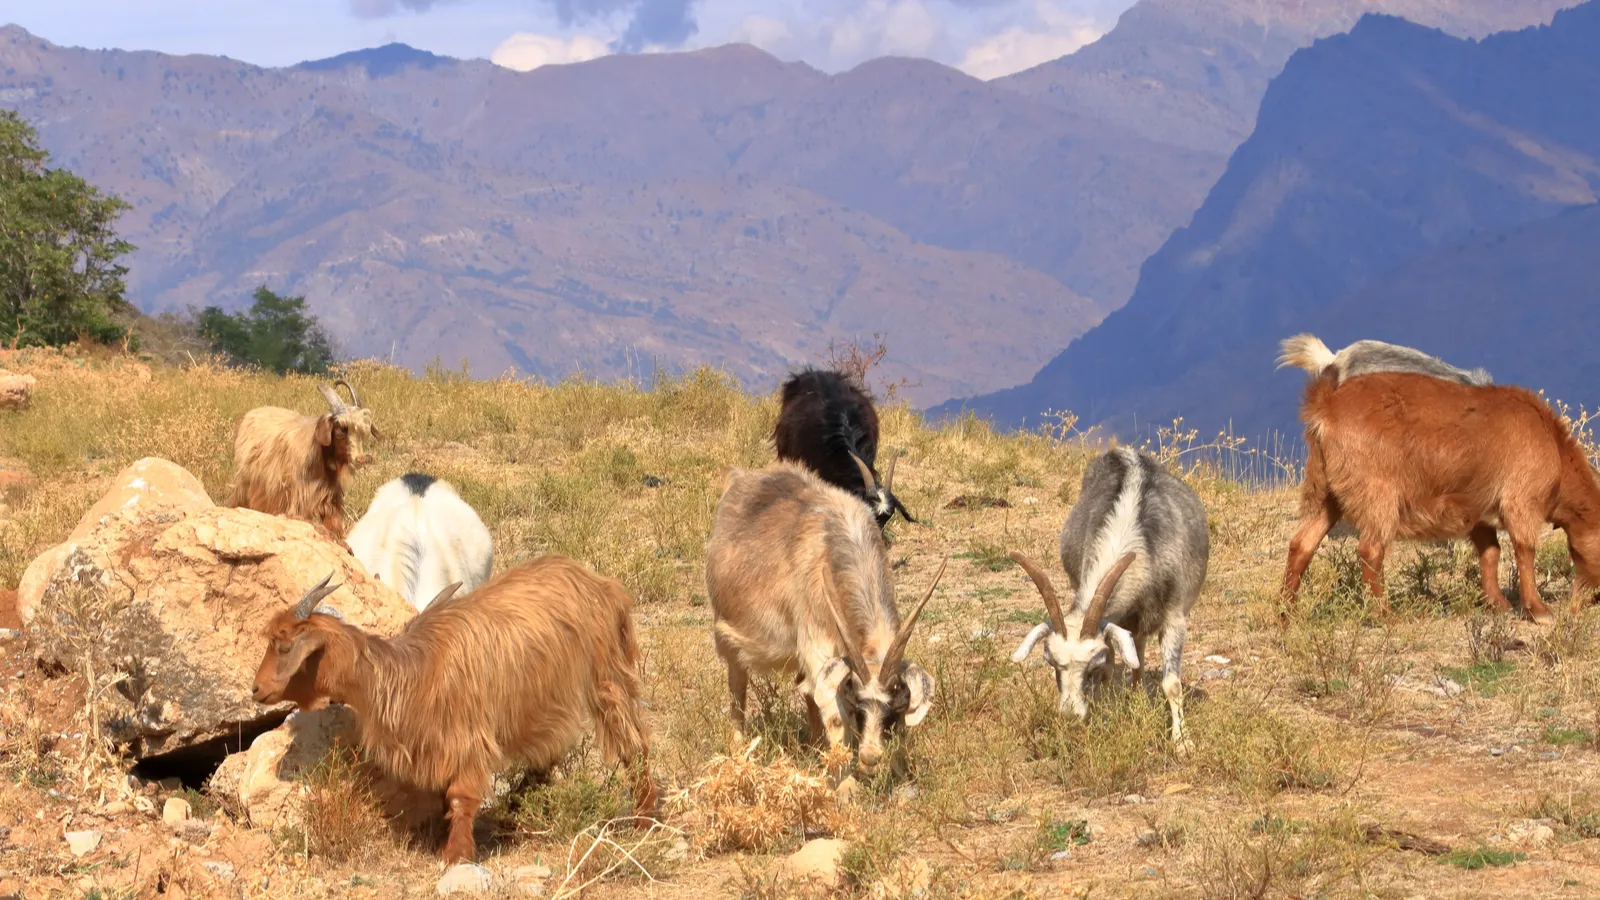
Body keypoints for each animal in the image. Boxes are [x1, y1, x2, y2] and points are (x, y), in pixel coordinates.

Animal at [227, 381, 377, 538]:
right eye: (341, 429)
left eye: (362, 432)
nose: (359, 459)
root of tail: (251, 413)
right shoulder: (298, 501)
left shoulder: (331, 501)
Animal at [250, 557, 656, 864]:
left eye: (283, 645)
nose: (256, 689)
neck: (412, 673)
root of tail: (602, 584)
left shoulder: (468, 736)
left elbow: (461, 796)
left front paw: (456, 854)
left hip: (605, 677)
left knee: (633, 741)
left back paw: (646, 818)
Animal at [705, 461, 945, 775]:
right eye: (857, 704)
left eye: (895, 710)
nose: (869, 759)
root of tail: (740, 478)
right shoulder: (817, 645)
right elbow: (836, 720)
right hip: (728, 636)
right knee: (737, 686)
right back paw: (738, 751)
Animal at [1009, 447, 1209, 745]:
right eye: (1052, 664)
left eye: (1091, 667)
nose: (1070, 717)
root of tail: (1123, 452)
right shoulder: (1114, 619)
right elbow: (1113, 671)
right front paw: (1105, 717)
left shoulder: (1174, 617)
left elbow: (1172, 684)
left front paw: (1183, 742)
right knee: (1136, 652)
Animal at [1280, 335, 1600, 624]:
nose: (1591, 600)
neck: (1554, 447)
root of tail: (1326, 408)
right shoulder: (1521, 500)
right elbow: (1525, 549)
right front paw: (1538, 610)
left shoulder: (1477, 506)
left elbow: (1490, 551)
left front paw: (1496, 603)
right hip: (1376, 492)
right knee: (1370, 549)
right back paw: (1384, 614)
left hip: (1325, 490)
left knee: (1302, 543)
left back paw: (1286, 612)